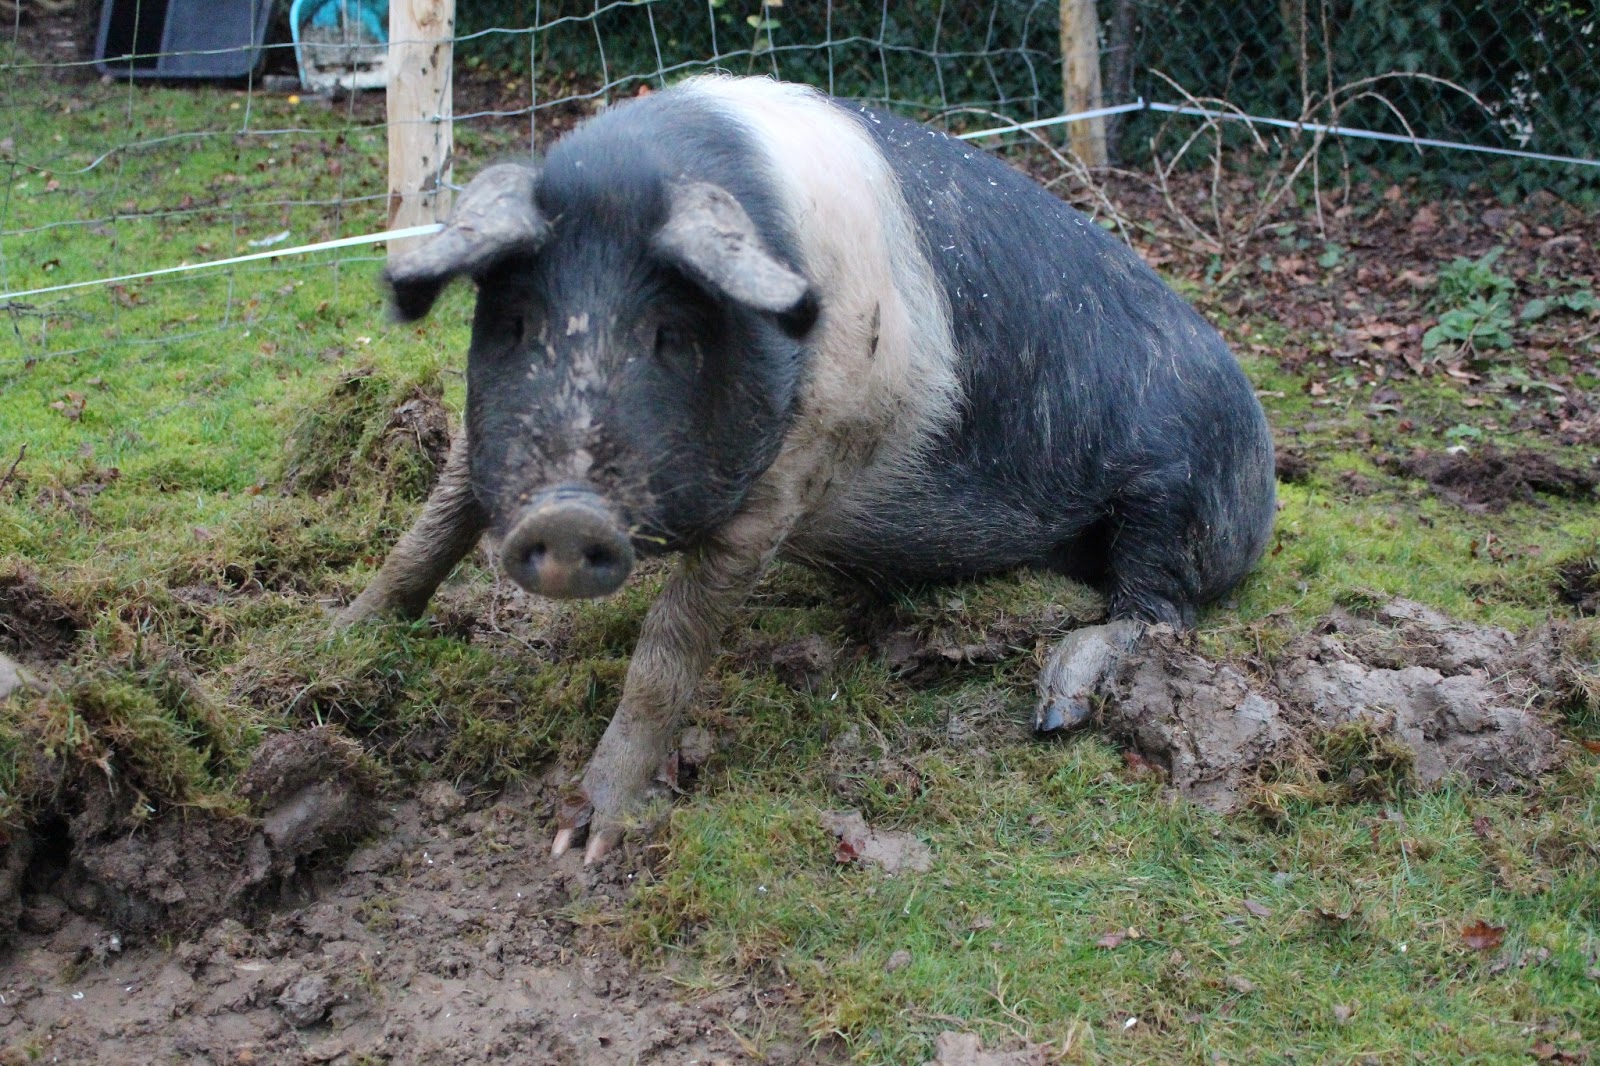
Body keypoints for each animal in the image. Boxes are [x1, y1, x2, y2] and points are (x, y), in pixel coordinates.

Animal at [339, 75, 1275, 863]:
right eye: (518, 322)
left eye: (671, 335)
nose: (565, 515)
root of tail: (1264, 480)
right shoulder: (479, 440)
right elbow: (428, 531)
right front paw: (339, 639)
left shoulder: (790, 480)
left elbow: (669, 648)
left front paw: (584, 841)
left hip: (1169, 492)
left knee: (1159, 616)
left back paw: (1053, 709)